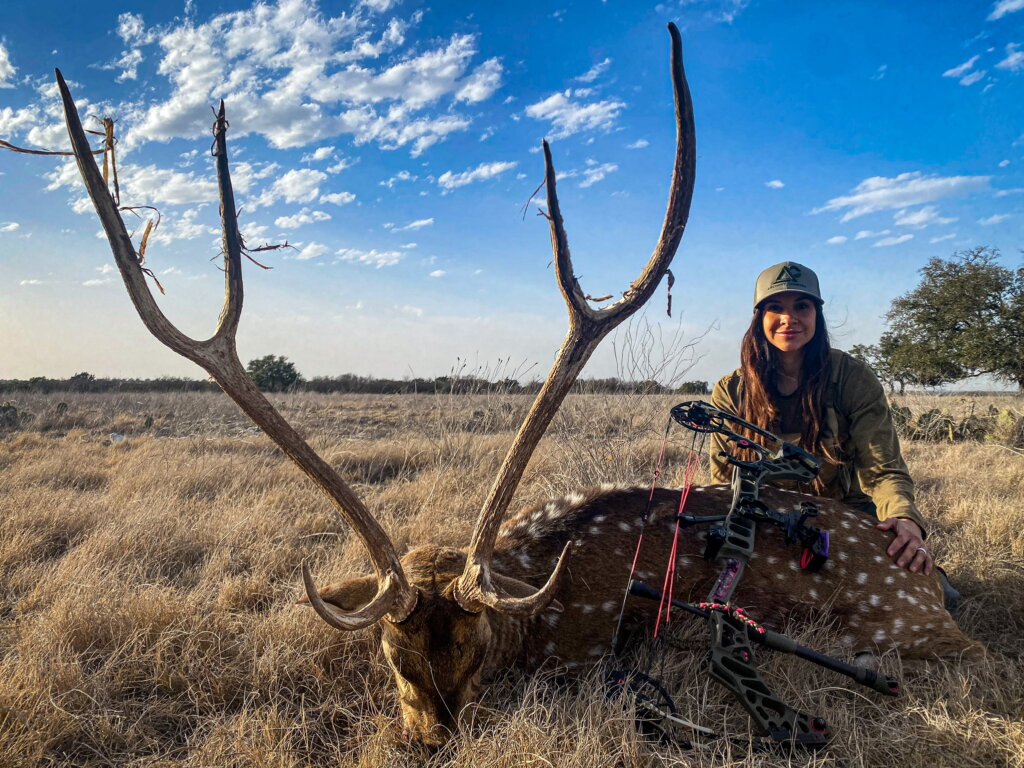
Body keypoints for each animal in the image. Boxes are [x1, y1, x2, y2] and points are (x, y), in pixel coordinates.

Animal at [53, 23, 979, 748]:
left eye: (475, 646)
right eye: (392, 657)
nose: (432, 739)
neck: (539, 596)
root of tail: (932, 580)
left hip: (901, 625)